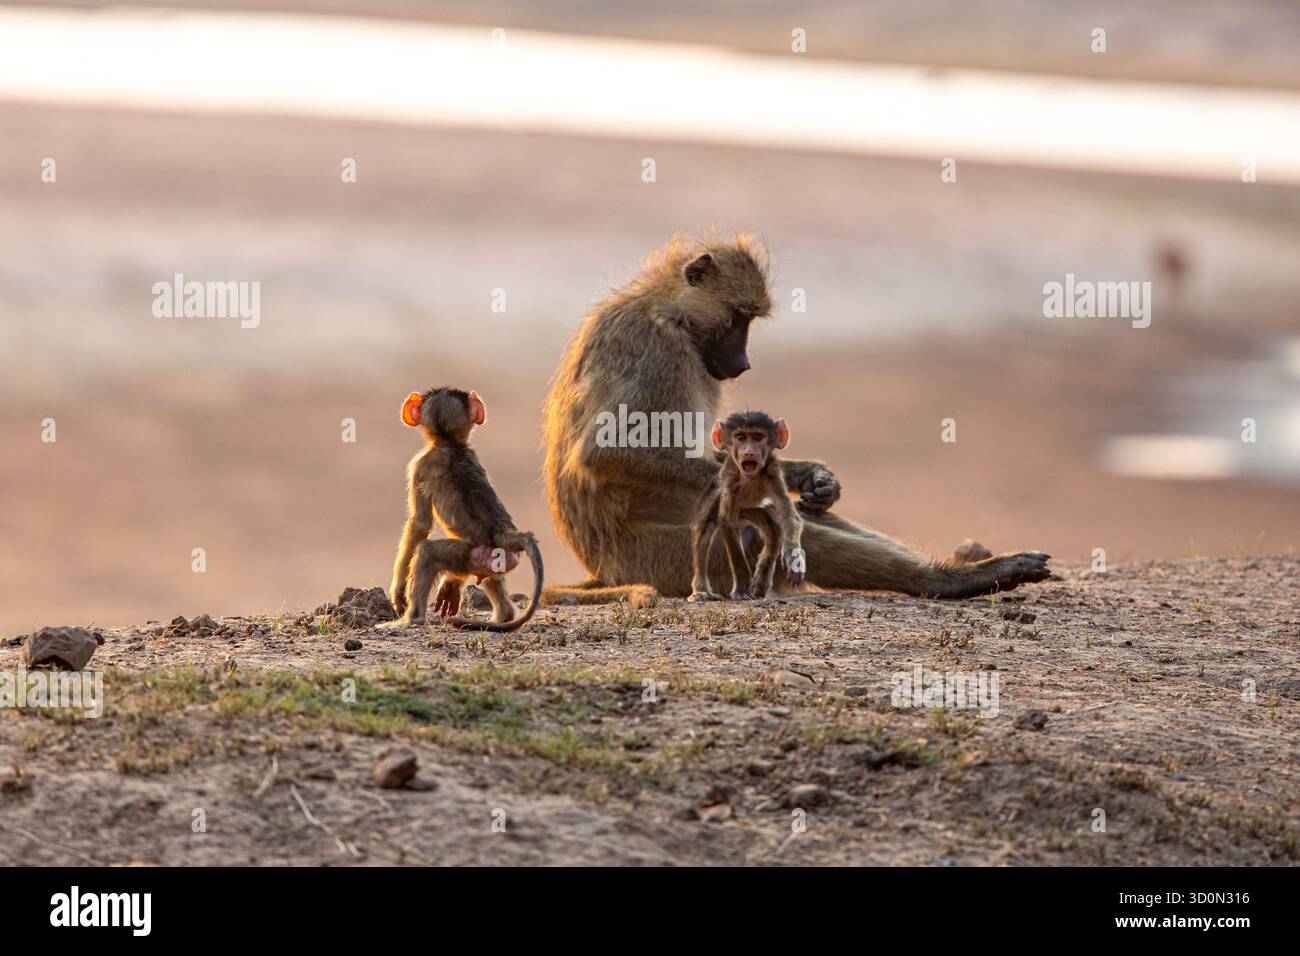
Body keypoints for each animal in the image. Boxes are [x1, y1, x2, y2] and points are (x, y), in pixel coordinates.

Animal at [385, 386, 543, 631]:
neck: (449, 443)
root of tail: (502, 534)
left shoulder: (418, 466)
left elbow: (420, 524)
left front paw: (398, 589)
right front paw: (451, 585)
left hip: (468, 555)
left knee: (426, 551)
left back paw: (411, 619)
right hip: (493, 559)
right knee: (493, 580)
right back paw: (503, 617)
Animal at [690, 410, 806, 602]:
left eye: (758, 437)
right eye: (741, 437)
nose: (749, 452)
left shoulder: (772, 475)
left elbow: (789, 516)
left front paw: (793, 558)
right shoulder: (730, 481)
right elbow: (727, 524)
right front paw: (742, 590)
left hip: (752, 510)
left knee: (773, 528)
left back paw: (761, 581)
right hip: (716, 499)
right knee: (704, 531)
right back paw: (701, 590)